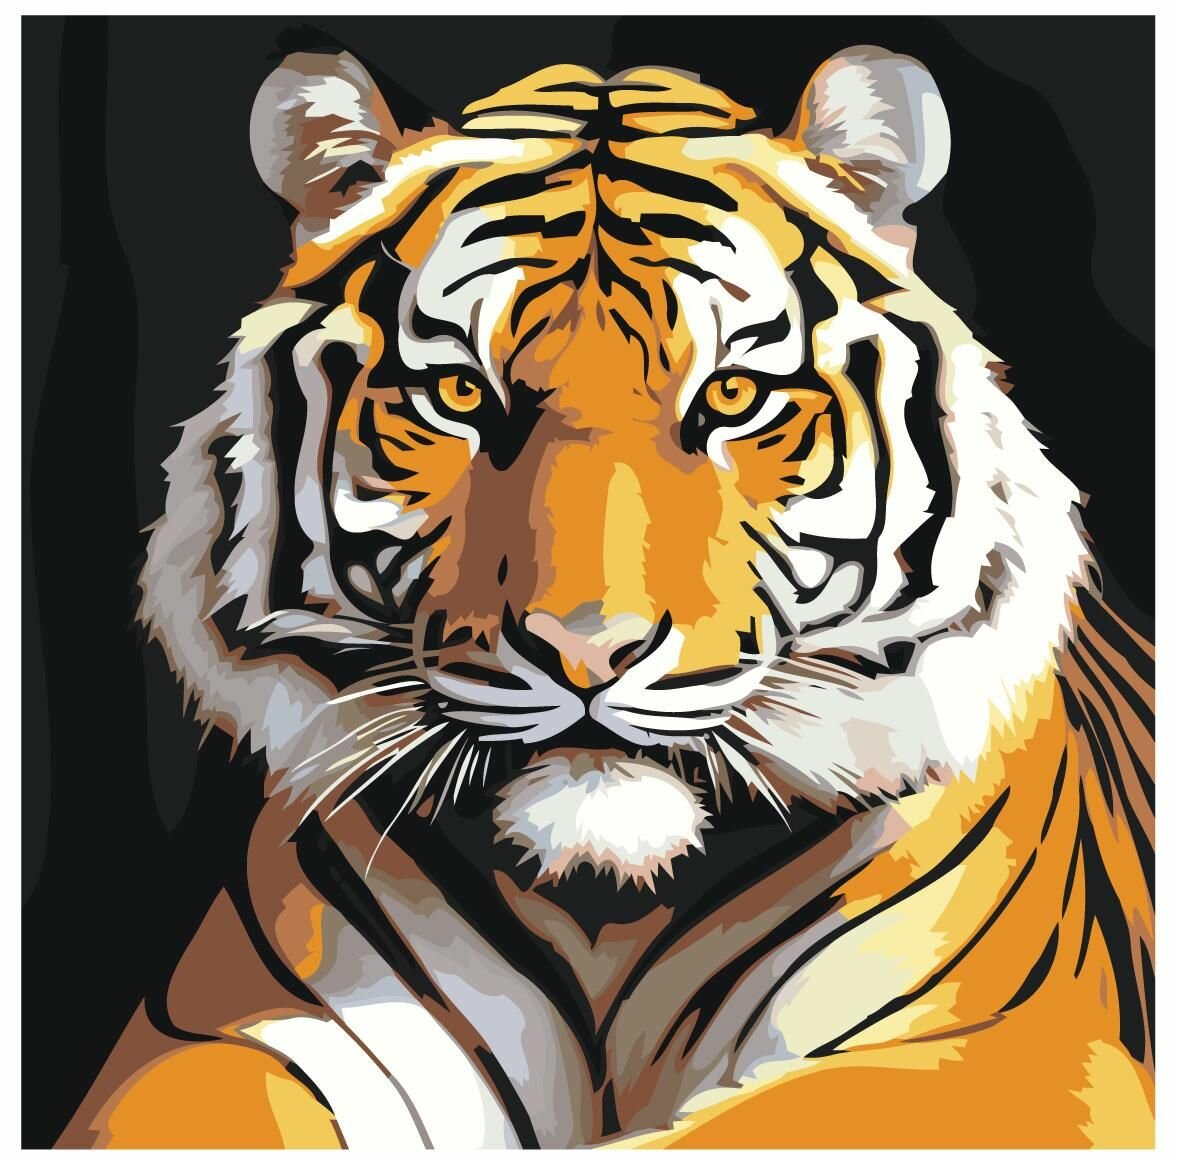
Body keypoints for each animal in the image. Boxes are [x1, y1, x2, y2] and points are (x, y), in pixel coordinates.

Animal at [59, 43, 1154, 1148]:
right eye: (459, 397)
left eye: (731, 398)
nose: (587, 652)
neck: (604, 917)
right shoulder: (214, 1036)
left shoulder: (1020, 1052)